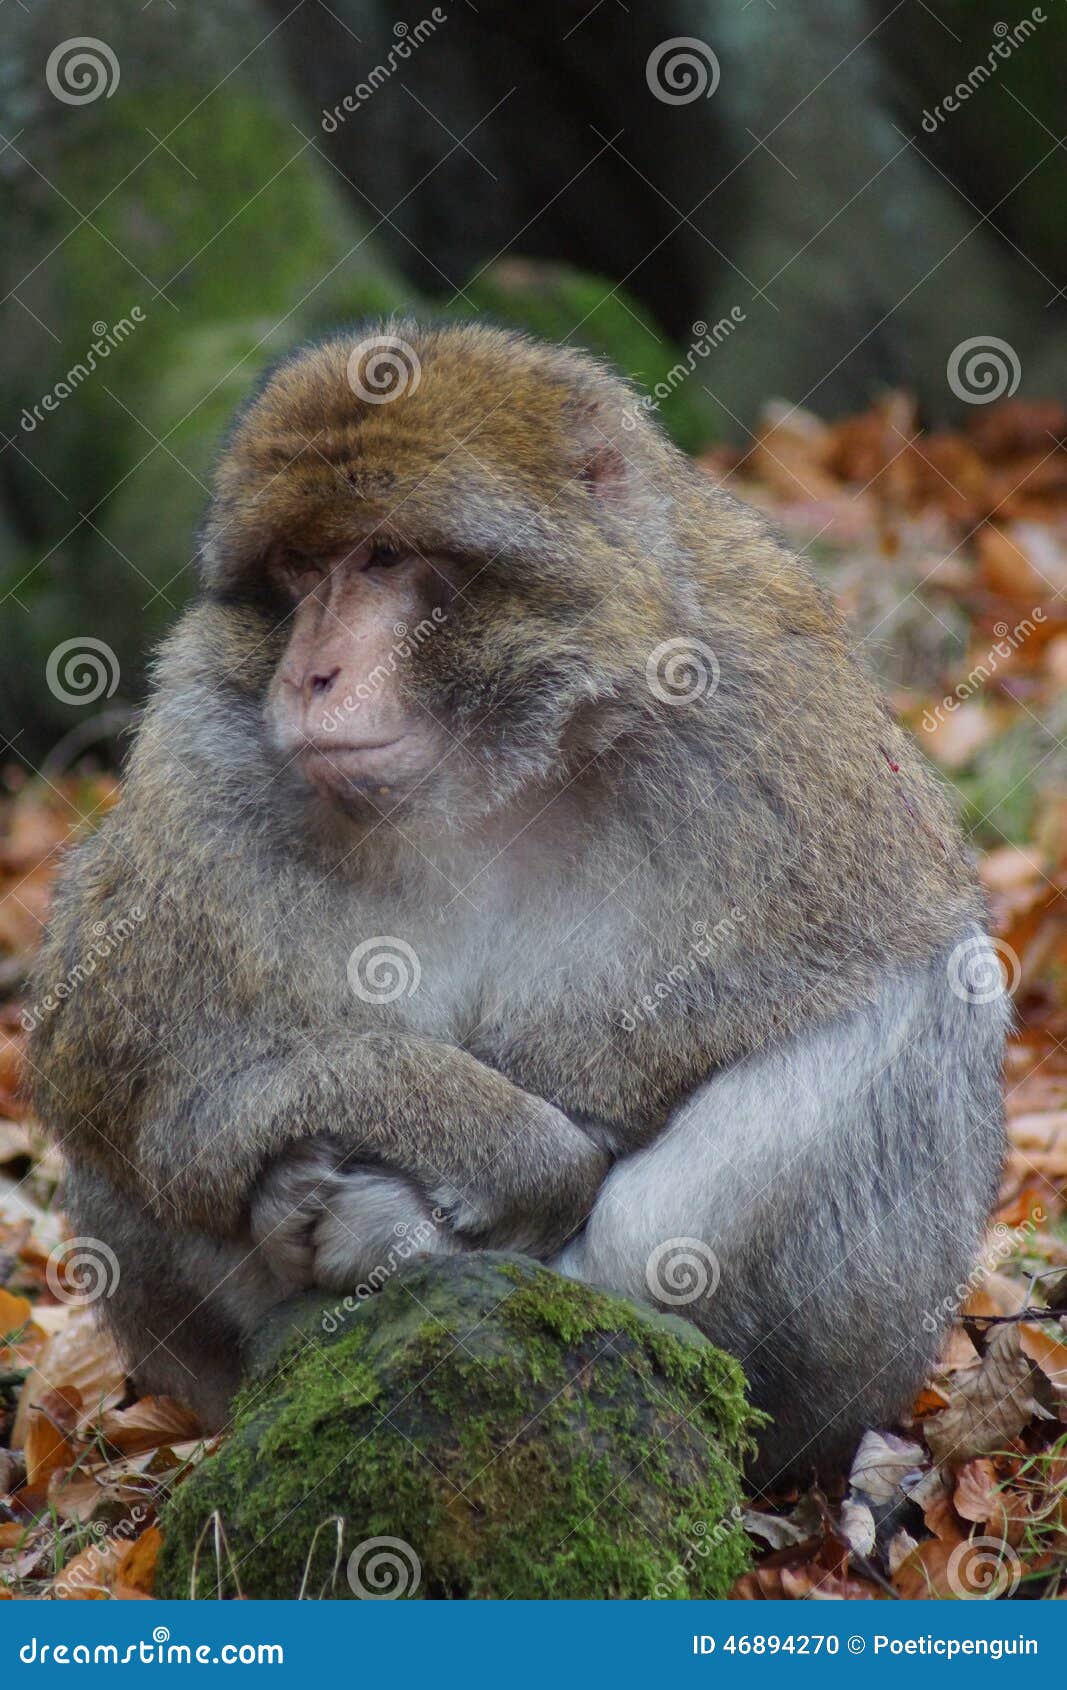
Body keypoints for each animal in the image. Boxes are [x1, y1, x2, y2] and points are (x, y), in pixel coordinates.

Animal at [28, 320, 1007, 1491]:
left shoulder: (764, 719)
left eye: (383, 558)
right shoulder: (204, 744)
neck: (491, 766)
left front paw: (491, 1165)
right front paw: (408, 1138)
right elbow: (106, 1051)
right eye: (300, 569)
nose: (309, 674)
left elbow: (858, 956)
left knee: (925, 993)